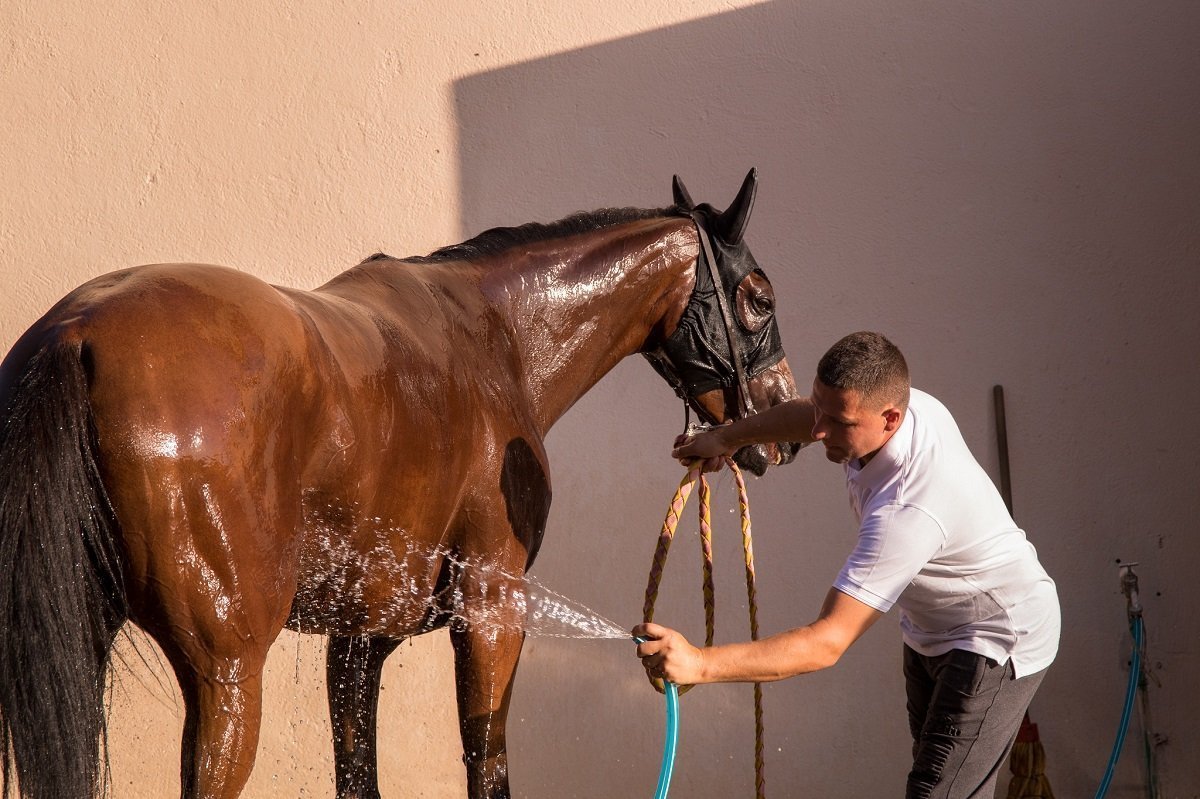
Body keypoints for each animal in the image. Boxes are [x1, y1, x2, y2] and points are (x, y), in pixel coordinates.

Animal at [0, 169, 801, 799]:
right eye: (759, 296)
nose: (785, 428)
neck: (497, 335)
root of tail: (77, 332)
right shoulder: (492, 611)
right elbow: (487, 767)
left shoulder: (360, 637)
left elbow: (361, 775)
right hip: (227, 675)